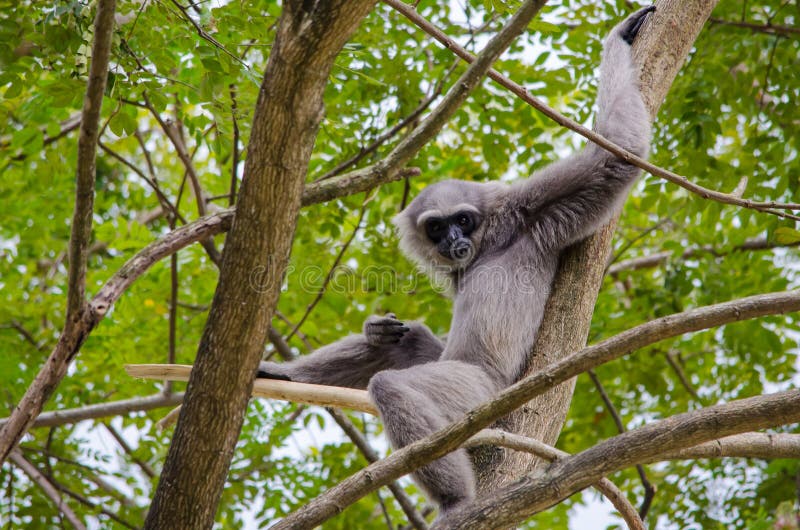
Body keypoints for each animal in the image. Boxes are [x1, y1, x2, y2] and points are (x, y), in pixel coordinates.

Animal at [258, 6, 653, 520]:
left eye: (463, 220)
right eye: (436, 228)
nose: (454, 240)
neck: (491, 241)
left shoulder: (533, 209)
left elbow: (617, 156)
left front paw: (619, 39)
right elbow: (397, 335)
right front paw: (374, 327)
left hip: (480, 391)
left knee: (394, 384)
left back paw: (456, 502)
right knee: (401, 343)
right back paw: (285, 374)